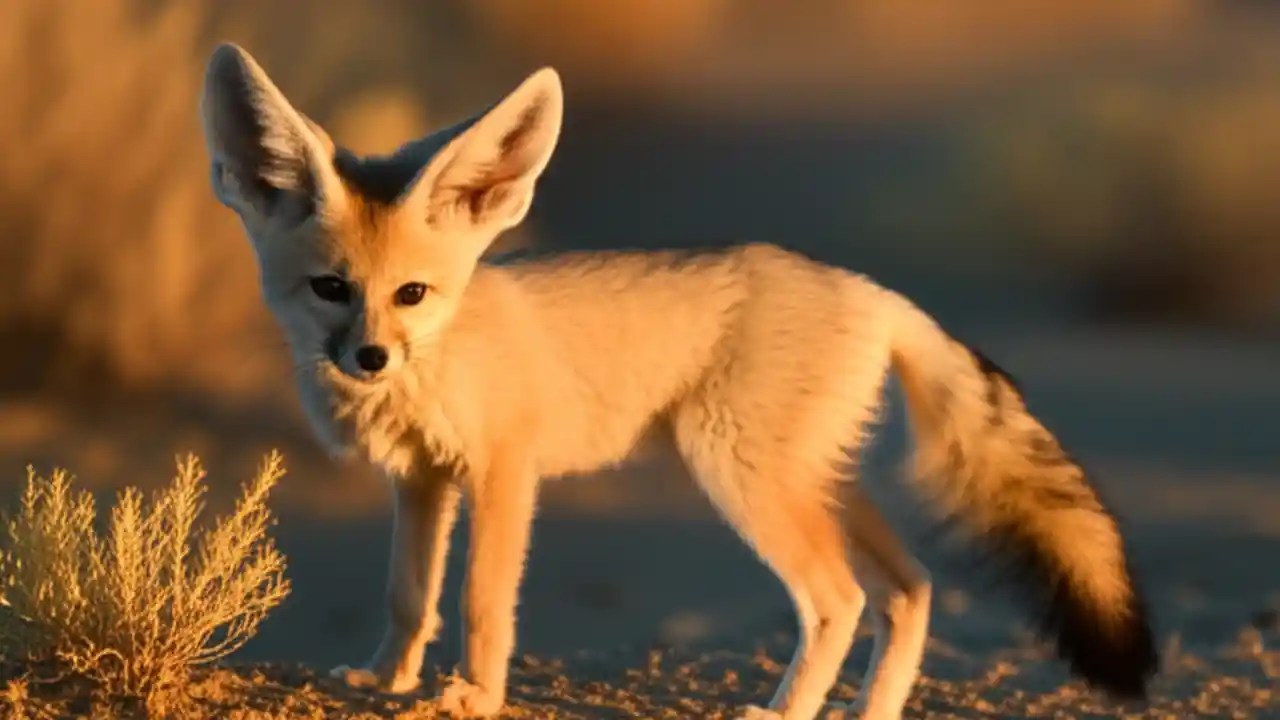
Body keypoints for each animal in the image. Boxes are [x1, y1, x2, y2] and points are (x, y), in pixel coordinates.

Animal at [200, 43, 1158, 719]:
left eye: (411, 294)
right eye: (331, 289)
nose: (370, 357)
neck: (440, 357)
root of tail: (870, 289)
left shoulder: (505, 472)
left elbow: (479, 601)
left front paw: (476, 695)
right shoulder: (424, 478)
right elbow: (408, 594)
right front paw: (384, 681)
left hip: (743, 475)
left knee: (839, 599)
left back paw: (783, 713)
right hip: (817, 481)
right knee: (911, 588)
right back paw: (868, 712)